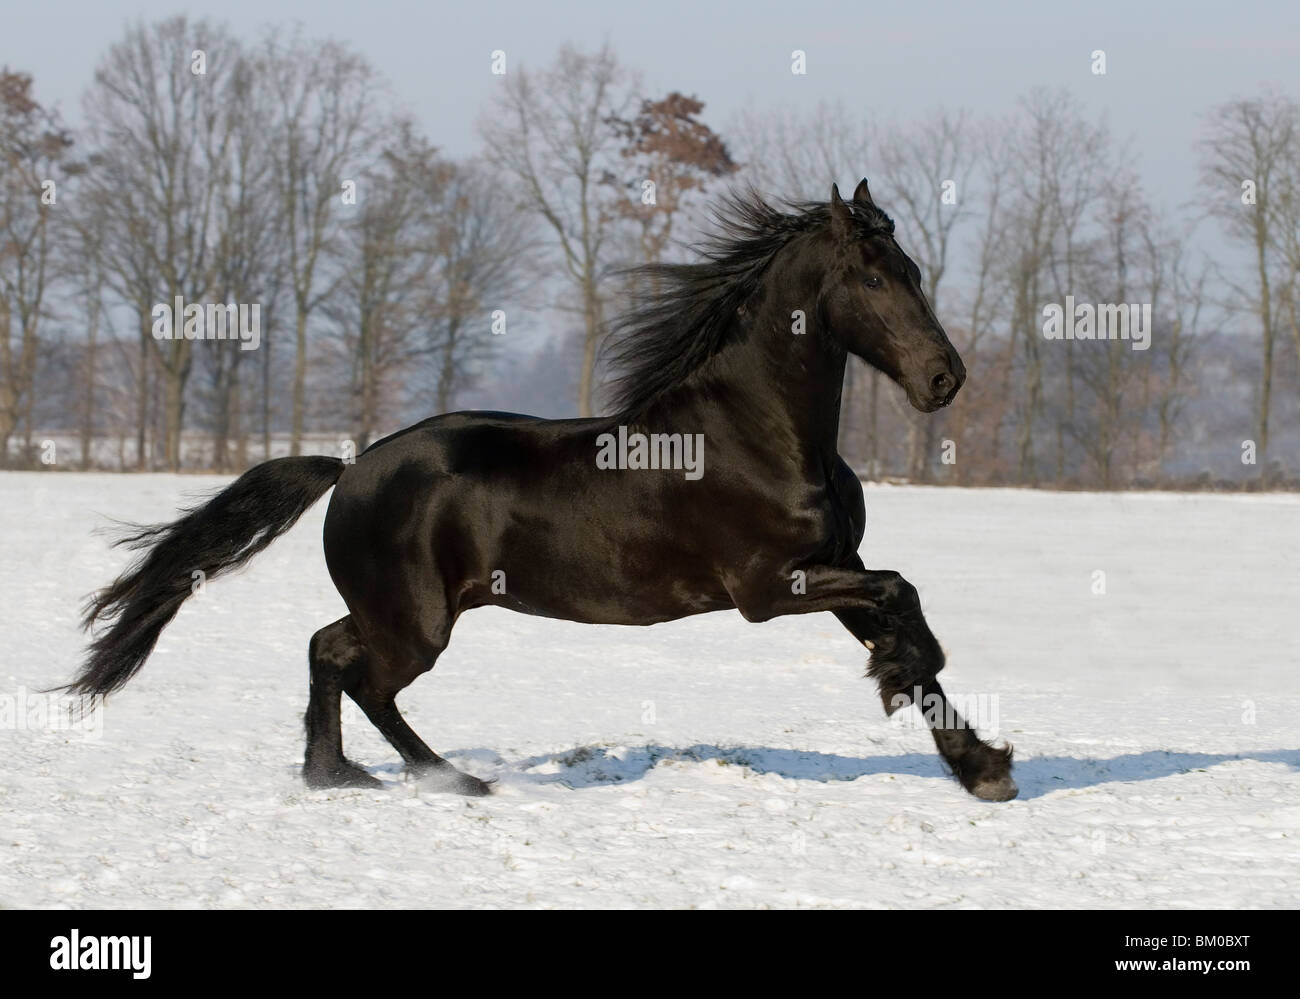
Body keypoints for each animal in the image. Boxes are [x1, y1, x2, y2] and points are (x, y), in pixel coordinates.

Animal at [67, 179, 1017, 802]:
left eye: (915, 268)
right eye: (871, 276)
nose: (945, 378)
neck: (759, 433)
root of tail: (350, 466)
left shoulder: (832, 561)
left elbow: (902, 618)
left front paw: (980, 765)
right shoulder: (767, 587)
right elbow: (904, 598)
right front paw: (938, 716)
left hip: (401, 609)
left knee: (325, 648)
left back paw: (337, 774)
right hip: (417, 622)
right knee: (362, 675)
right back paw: (450, 779)